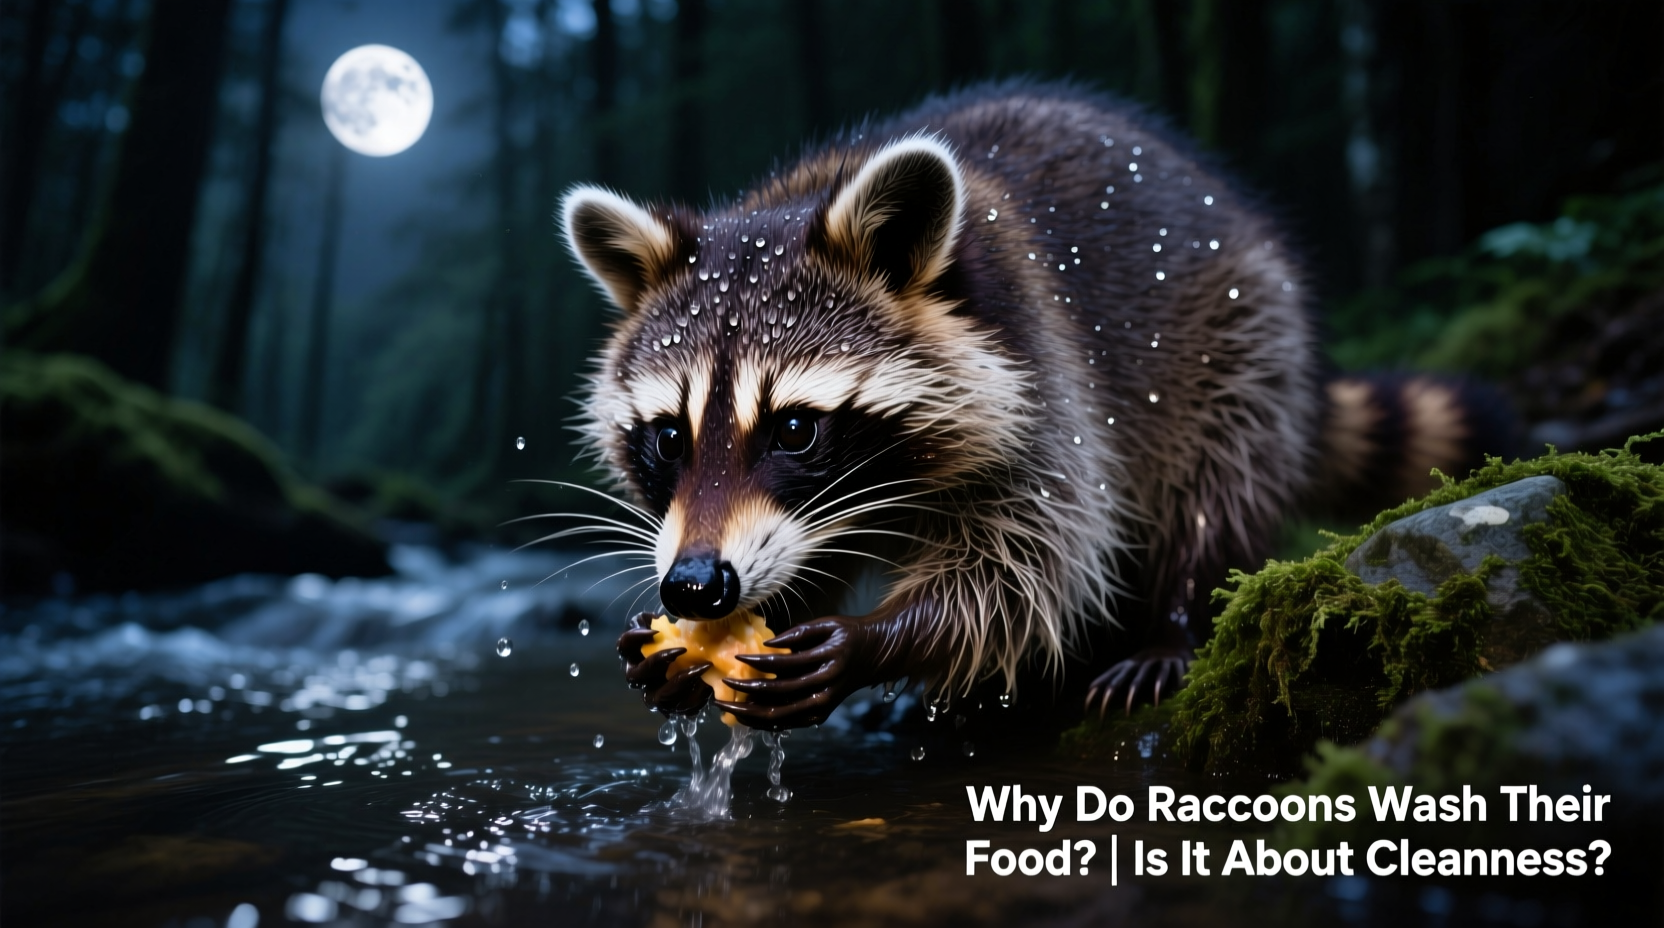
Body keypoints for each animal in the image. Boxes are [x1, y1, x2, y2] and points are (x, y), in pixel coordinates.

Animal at [558, 82, 1502, 728]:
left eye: (794, 428)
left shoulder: (1045, 382)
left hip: (1241, 331)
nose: (694, 585)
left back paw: (1174, 618)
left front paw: (879, 637)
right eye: (668, 438)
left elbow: (1036, 567)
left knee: (1218, 475)